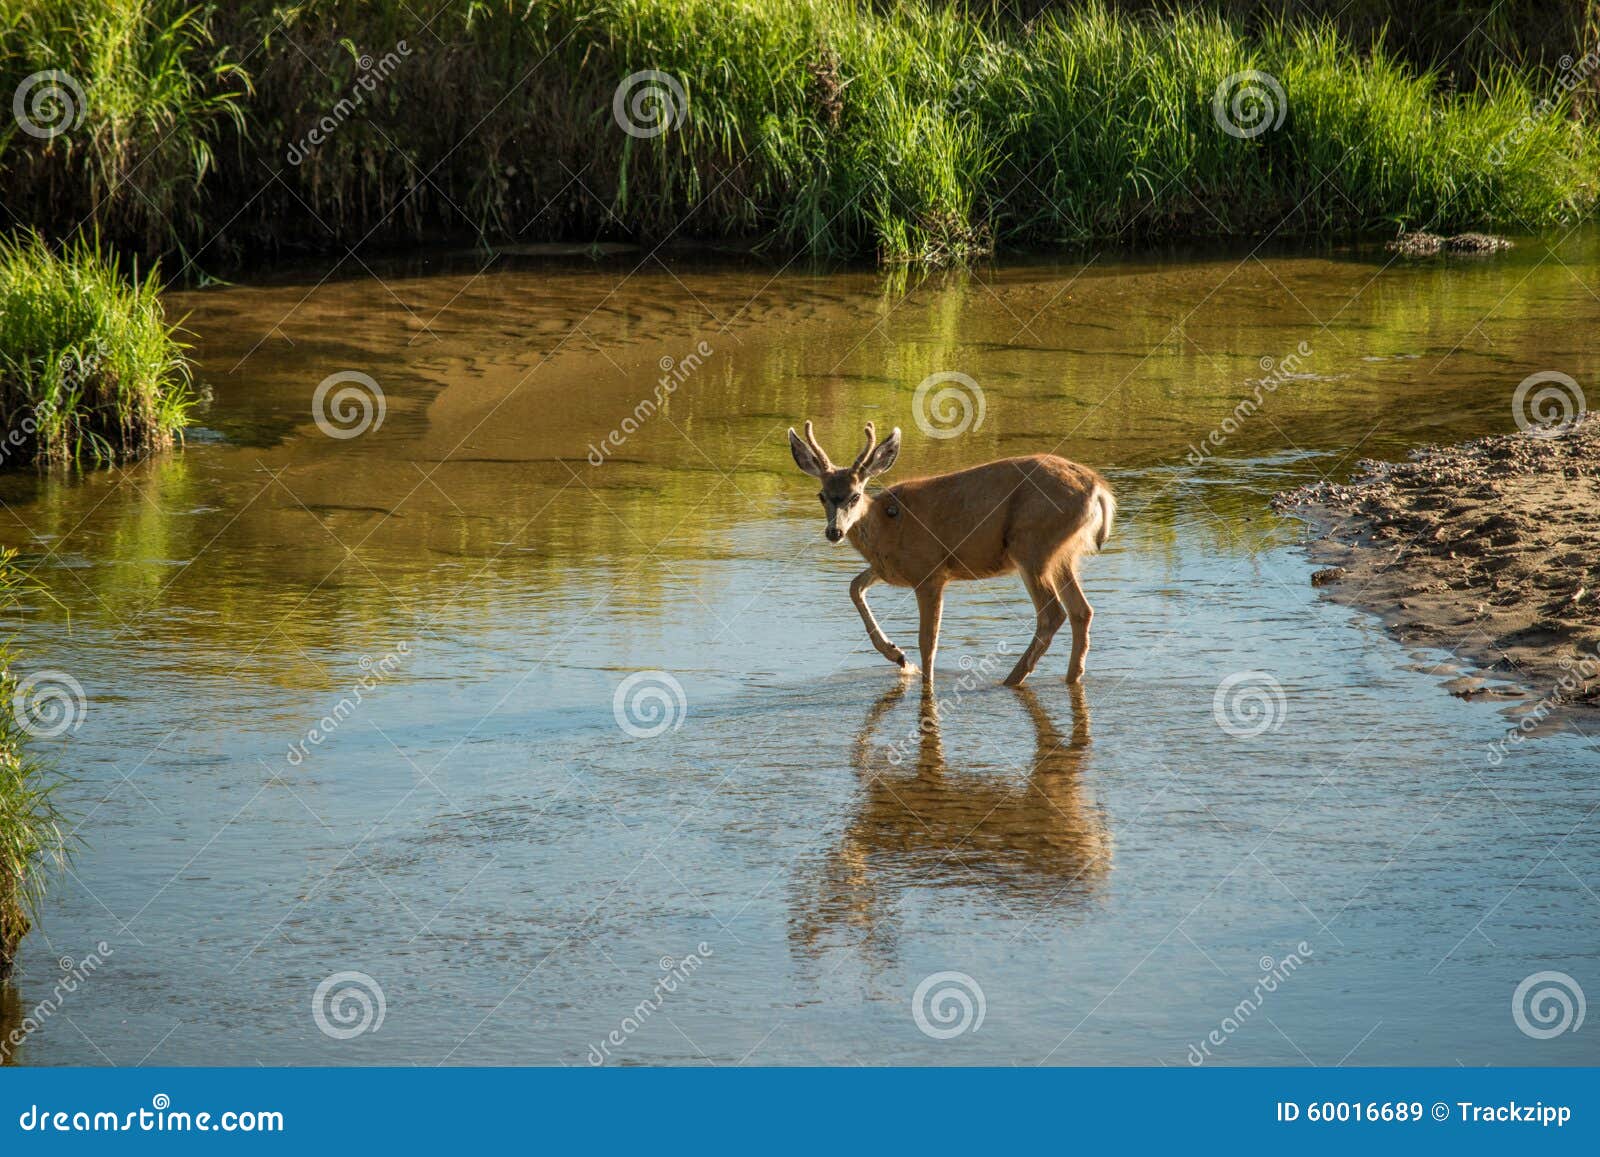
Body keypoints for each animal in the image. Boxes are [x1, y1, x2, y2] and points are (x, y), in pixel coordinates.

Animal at [787, 420, 1115, 686]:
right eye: (822, 496)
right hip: (1062, 554)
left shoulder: (930, 571)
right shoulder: (888, 569)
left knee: (1052, 614)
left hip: (1032, 546)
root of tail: (1099, 489)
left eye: (855, 496)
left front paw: (924, 679)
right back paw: (1070, 677)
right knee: (1081, 611)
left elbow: (928, 640)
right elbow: (854, 586)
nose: (834, 532)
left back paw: (1010, 680)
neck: (887, 523)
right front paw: (898, 656)